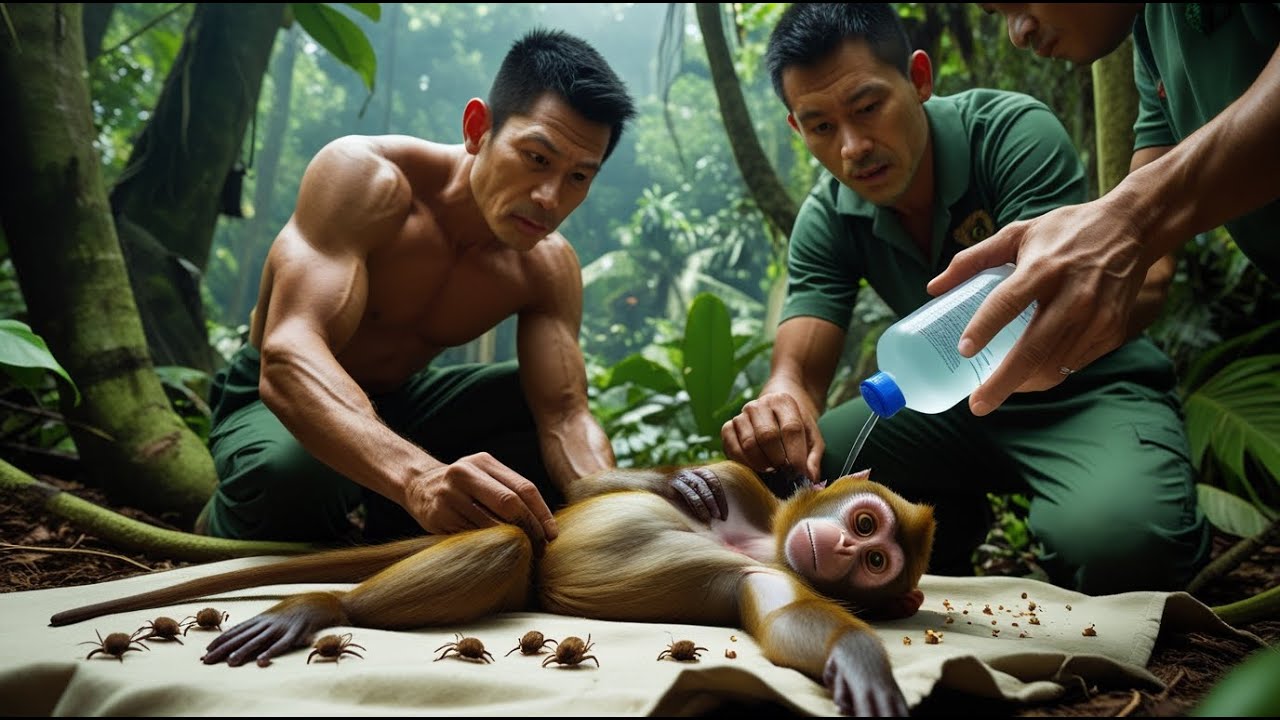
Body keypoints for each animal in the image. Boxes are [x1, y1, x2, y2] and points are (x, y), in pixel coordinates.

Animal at [49, 461, 935, 716]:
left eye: (878, 564)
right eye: (864, 525)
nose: (845, 550)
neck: (765, 537)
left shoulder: (770, 572)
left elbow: (792, 625)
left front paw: (859, 659)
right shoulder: (749, 488)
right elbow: (609, 486)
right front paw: (677, 485)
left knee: (512, 549)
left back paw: (328, 609)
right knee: (520, 534)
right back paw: (331, 607)